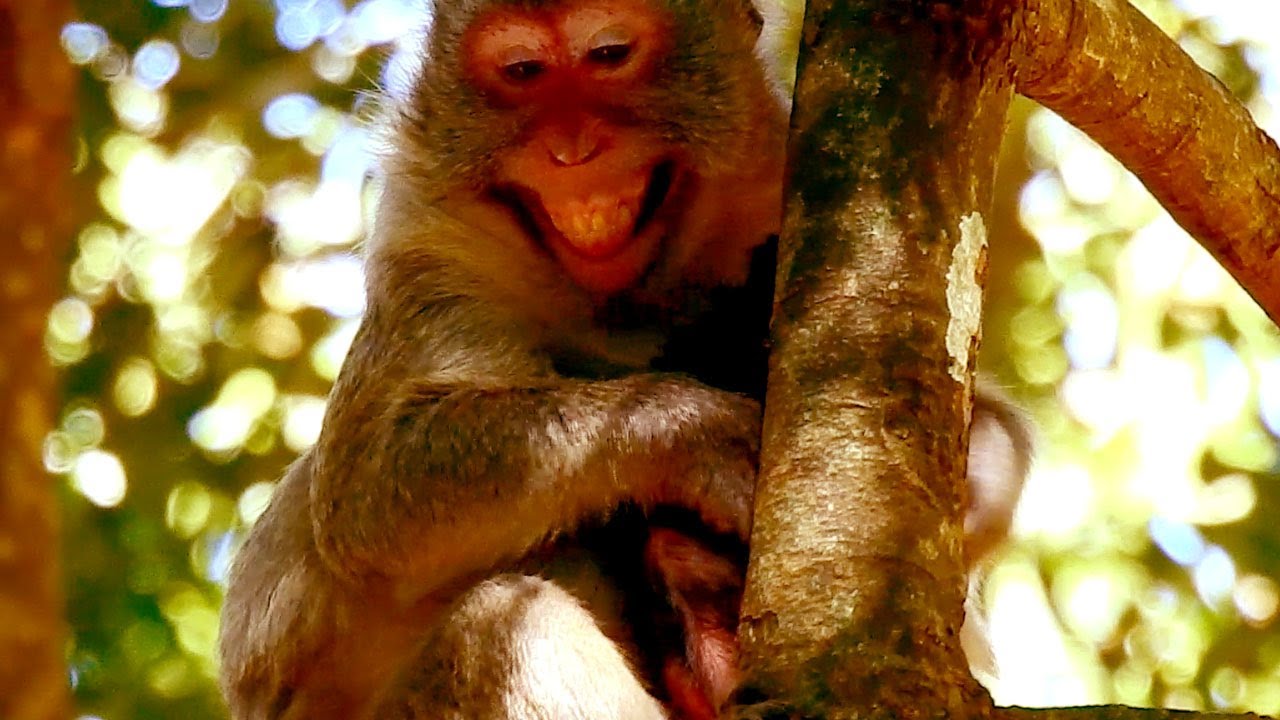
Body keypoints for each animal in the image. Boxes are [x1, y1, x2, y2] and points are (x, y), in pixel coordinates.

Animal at [216, 0, 1031, 717]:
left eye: (609, 54)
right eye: (522, 69)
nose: (572, 146)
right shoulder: (431, 250)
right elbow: (368, 494)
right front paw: (694, 434)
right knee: (503, 623)